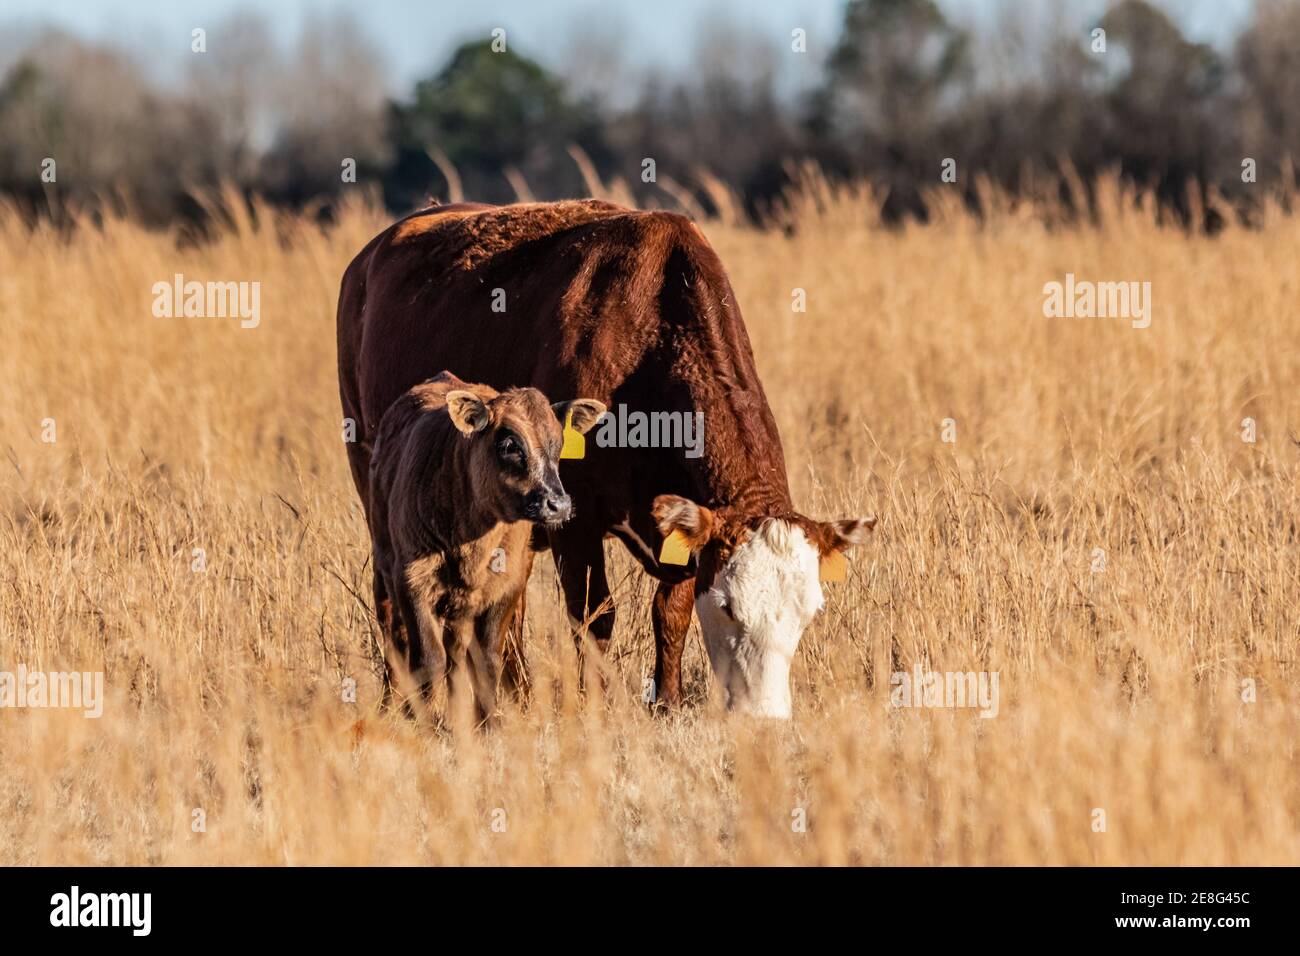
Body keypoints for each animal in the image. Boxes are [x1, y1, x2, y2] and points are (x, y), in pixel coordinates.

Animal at [367, 370, 605, 722]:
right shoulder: (411, 581)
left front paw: (488, 721)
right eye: (509, 445)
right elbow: (427, 658)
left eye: (558, 443)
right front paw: (427, 718)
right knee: (395, 637)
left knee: (456, 652)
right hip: (384, 573)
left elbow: (487, 660)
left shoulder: (506, 587)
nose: (558, 505)